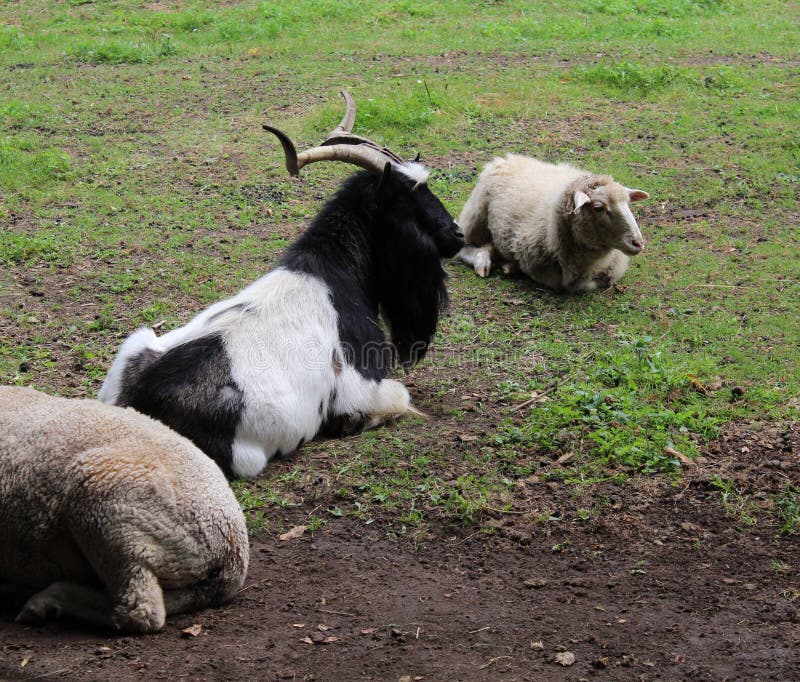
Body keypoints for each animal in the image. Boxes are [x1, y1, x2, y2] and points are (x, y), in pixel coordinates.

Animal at [98, 91, 464, 479]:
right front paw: (351, 422)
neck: (335, 271)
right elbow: (400, 397)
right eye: (405, 201)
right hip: (249, 458)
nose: (458, 235)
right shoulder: (359, 386)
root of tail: (136, 405)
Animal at [458, 154, 649, 293]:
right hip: (475, 215)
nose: (638, 243)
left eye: (627, 203)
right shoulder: (544, 272)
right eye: (598, 207)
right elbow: (574, 285)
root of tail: (508, 159)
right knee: (464, 248)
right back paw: (484, 260)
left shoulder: (613, 272)